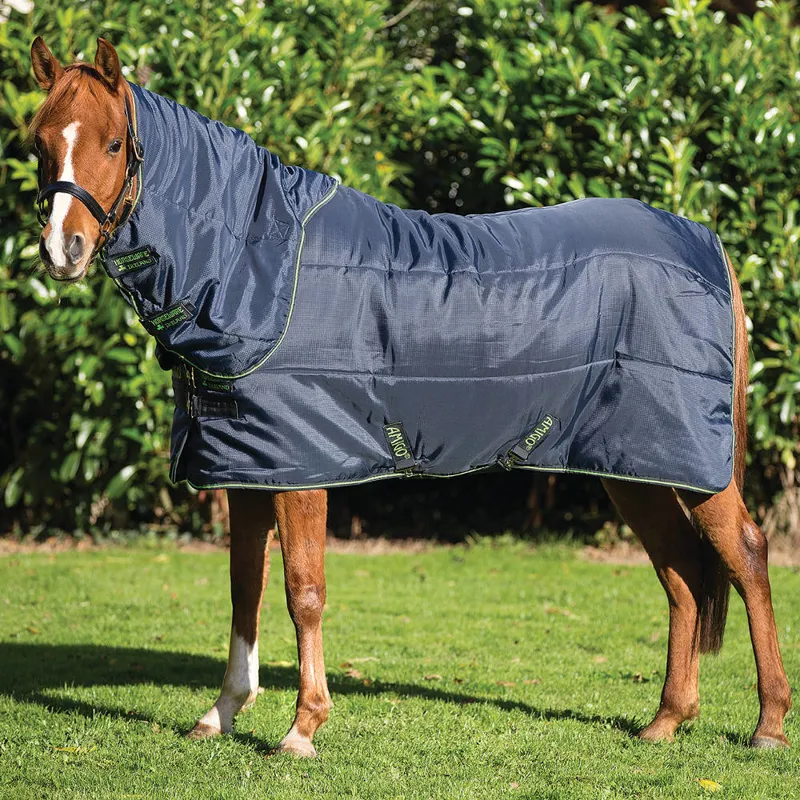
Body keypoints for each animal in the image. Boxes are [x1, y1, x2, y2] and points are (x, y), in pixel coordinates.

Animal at [28, 36, 791, 756]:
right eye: (38, 143)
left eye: (115, 143)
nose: (63, 250)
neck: (257, 269)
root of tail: (704, 243)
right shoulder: (246, 467)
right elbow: (244, 590)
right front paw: (220, 714)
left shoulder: (299, 470)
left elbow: (303, 592)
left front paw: (303, 728)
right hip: (632, 465)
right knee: (683, 572)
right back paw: (666, 721)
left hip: (693, 462)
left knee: (747, 555)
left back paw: (768, 725)